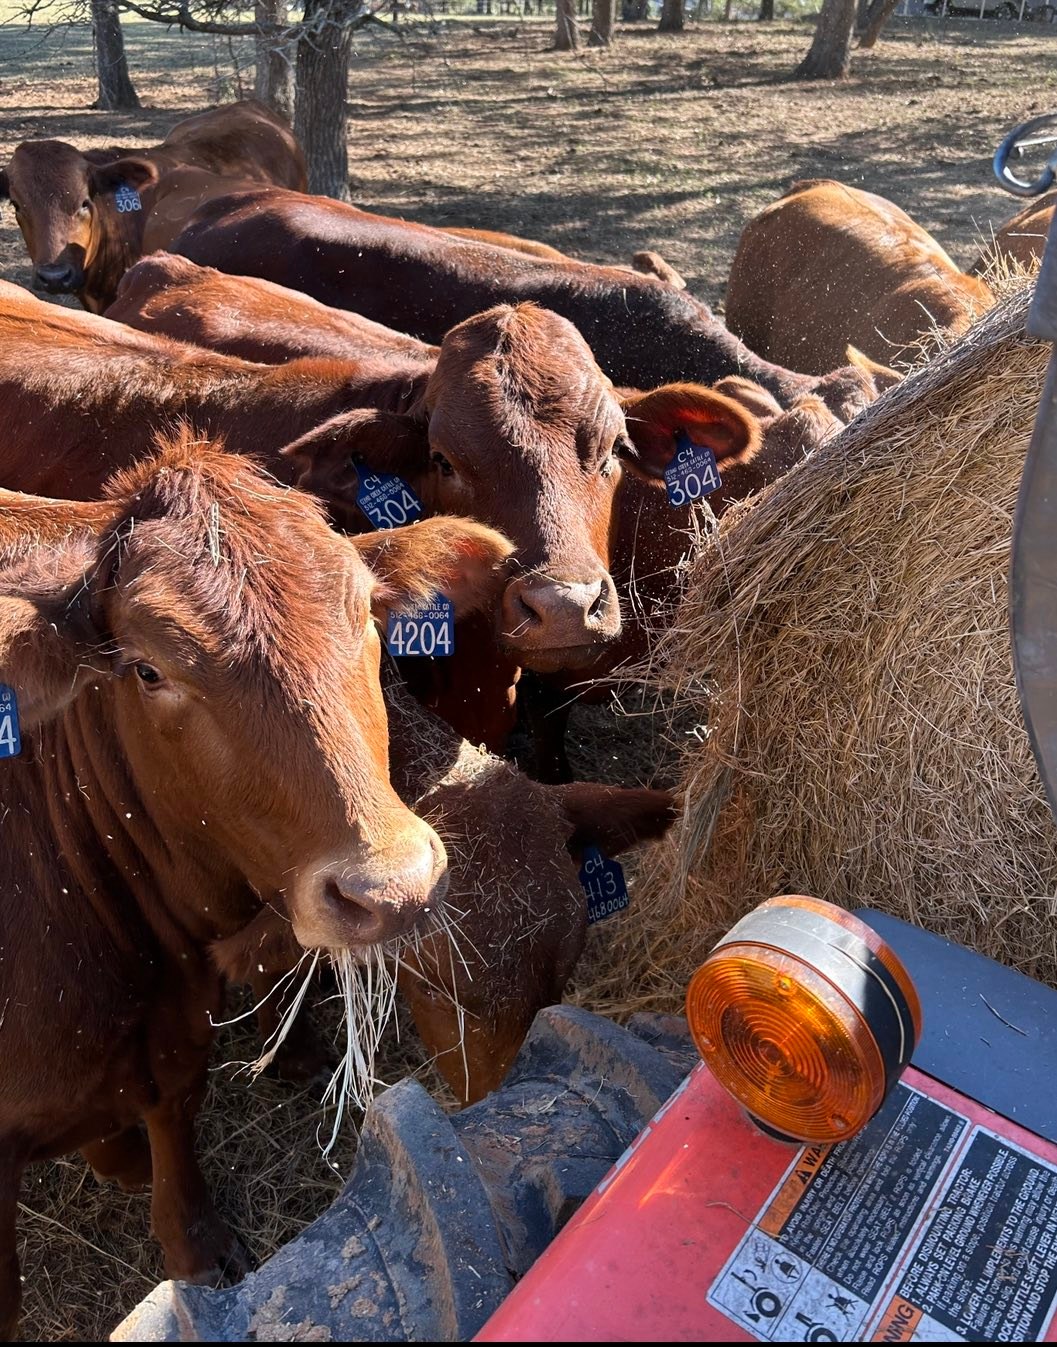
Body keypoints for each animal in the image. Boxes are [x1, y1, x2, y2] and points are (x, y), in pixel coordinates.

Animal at [0, 432, 514, 1338]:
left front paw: (189, 1237)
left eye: (369, 616)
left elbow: (174, 1123)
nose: (394, 886)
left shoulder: (175, 1027)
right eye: (148, 670)